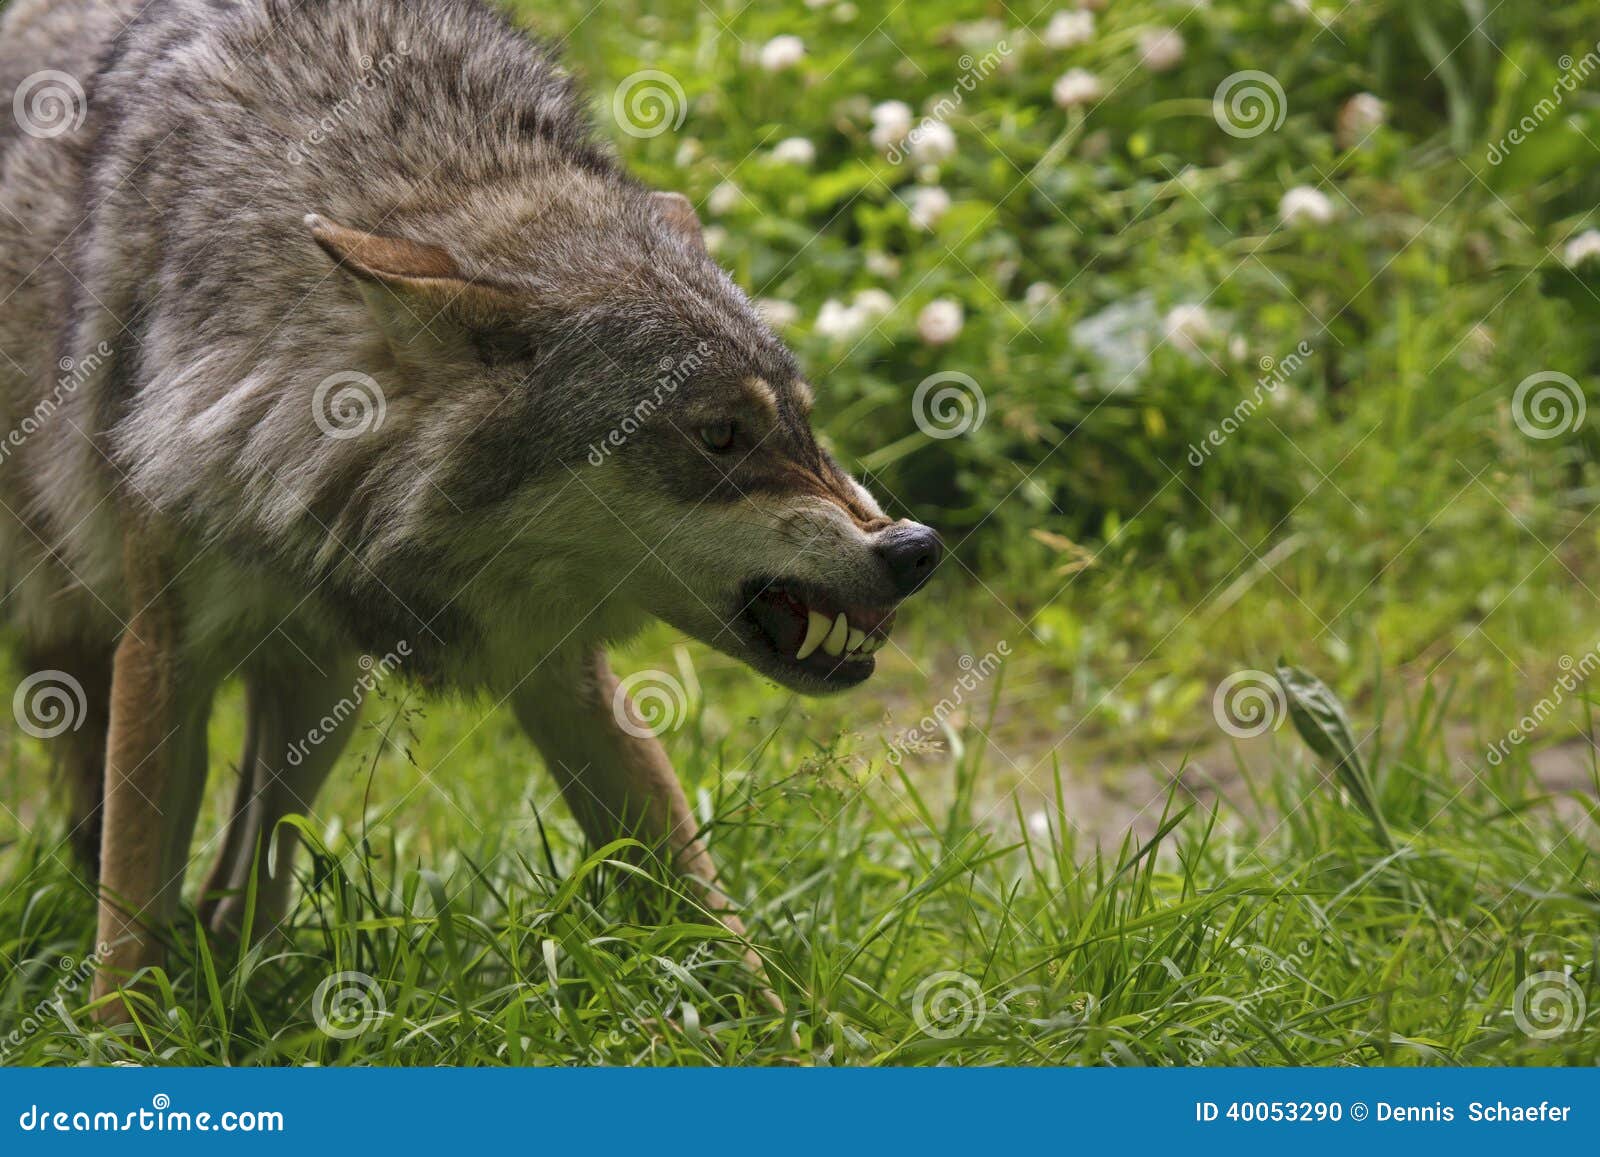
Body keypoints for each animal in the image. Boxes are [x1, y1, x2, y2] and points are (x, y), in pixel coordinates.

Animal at [0, 0, 940, 1015]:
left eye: (805, 423)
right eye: (722, 434)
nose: (916, 548)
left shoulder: (560, 661)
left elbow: (698, 897)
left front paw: (788, 1028)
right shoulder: (162, 648)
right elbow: (127, 922)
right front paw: (123, 1034)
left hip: (320, 679)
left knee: (249, 861)